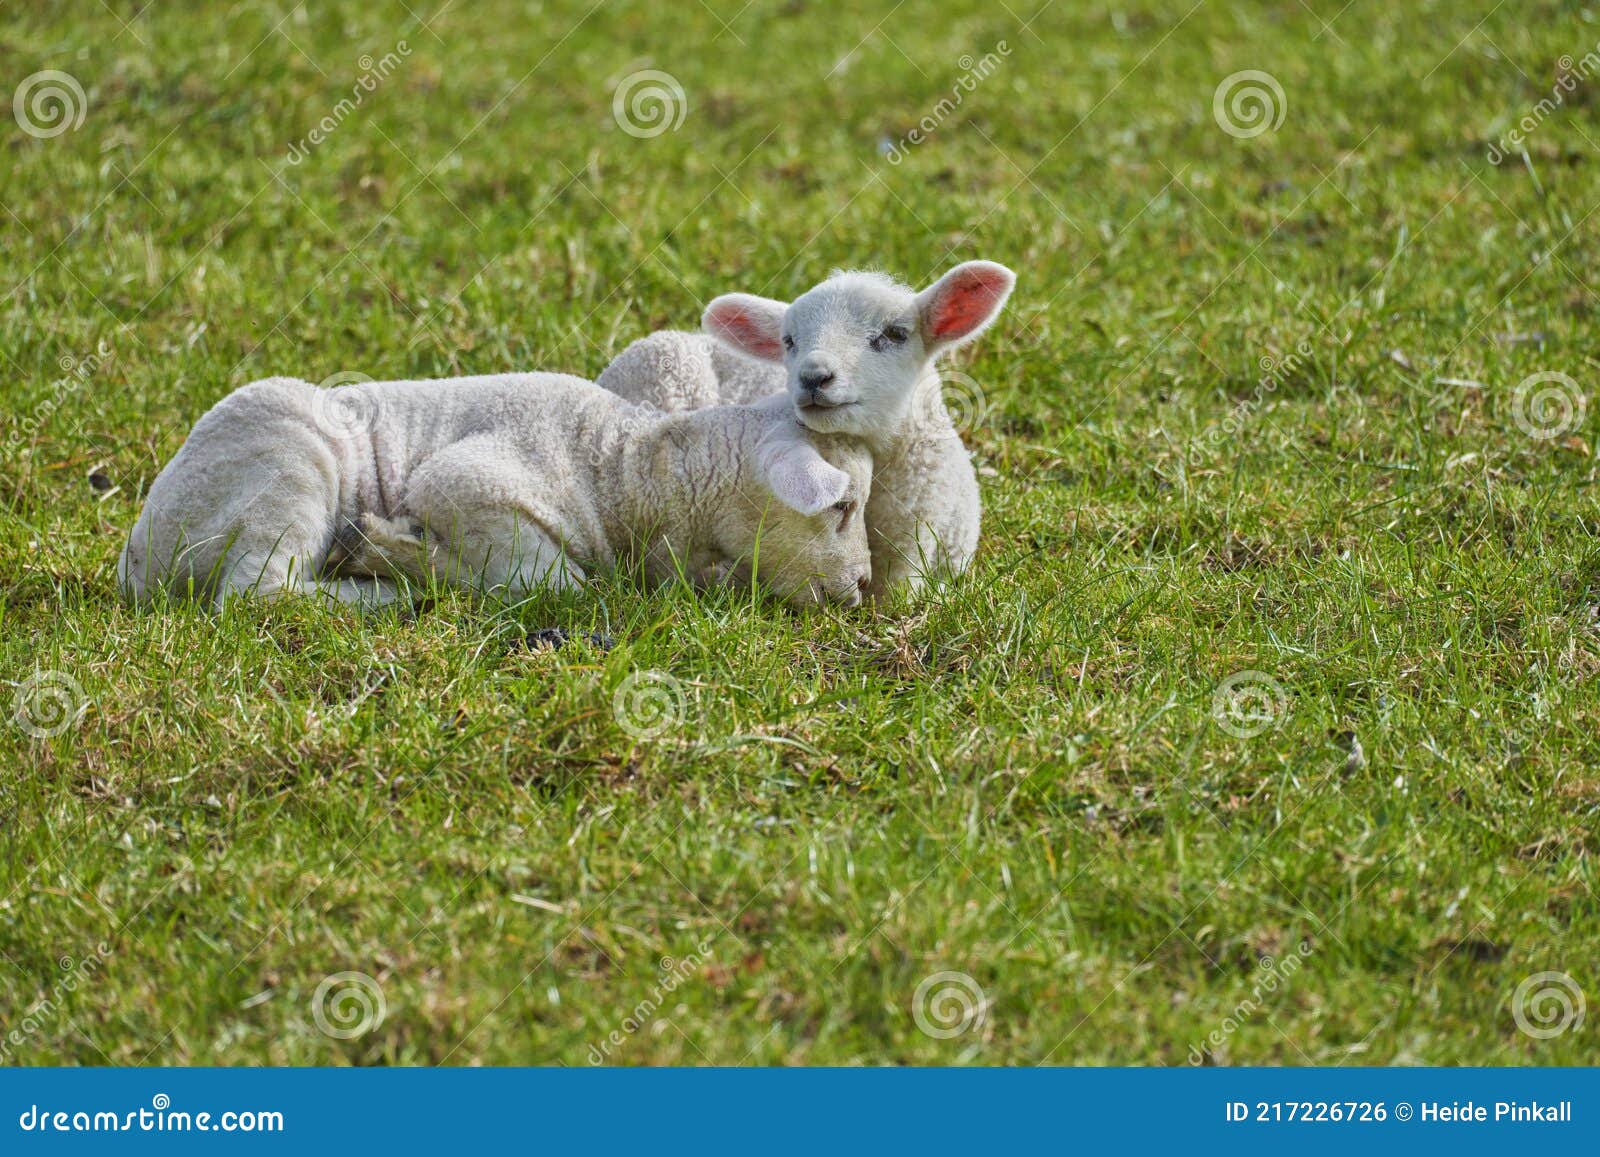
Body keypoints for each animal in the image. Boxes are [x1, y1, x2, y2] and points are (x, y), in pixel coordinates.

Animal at [118, 373, 875, 611]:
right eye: (842, 506)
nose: (867, 583)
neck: (628, 467)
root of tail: (139, 558)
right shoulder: (466, 480)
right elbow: (560, 583)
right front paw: (403, 553)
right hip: (289, 456)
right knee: (258, 593)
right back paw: (389, 587)